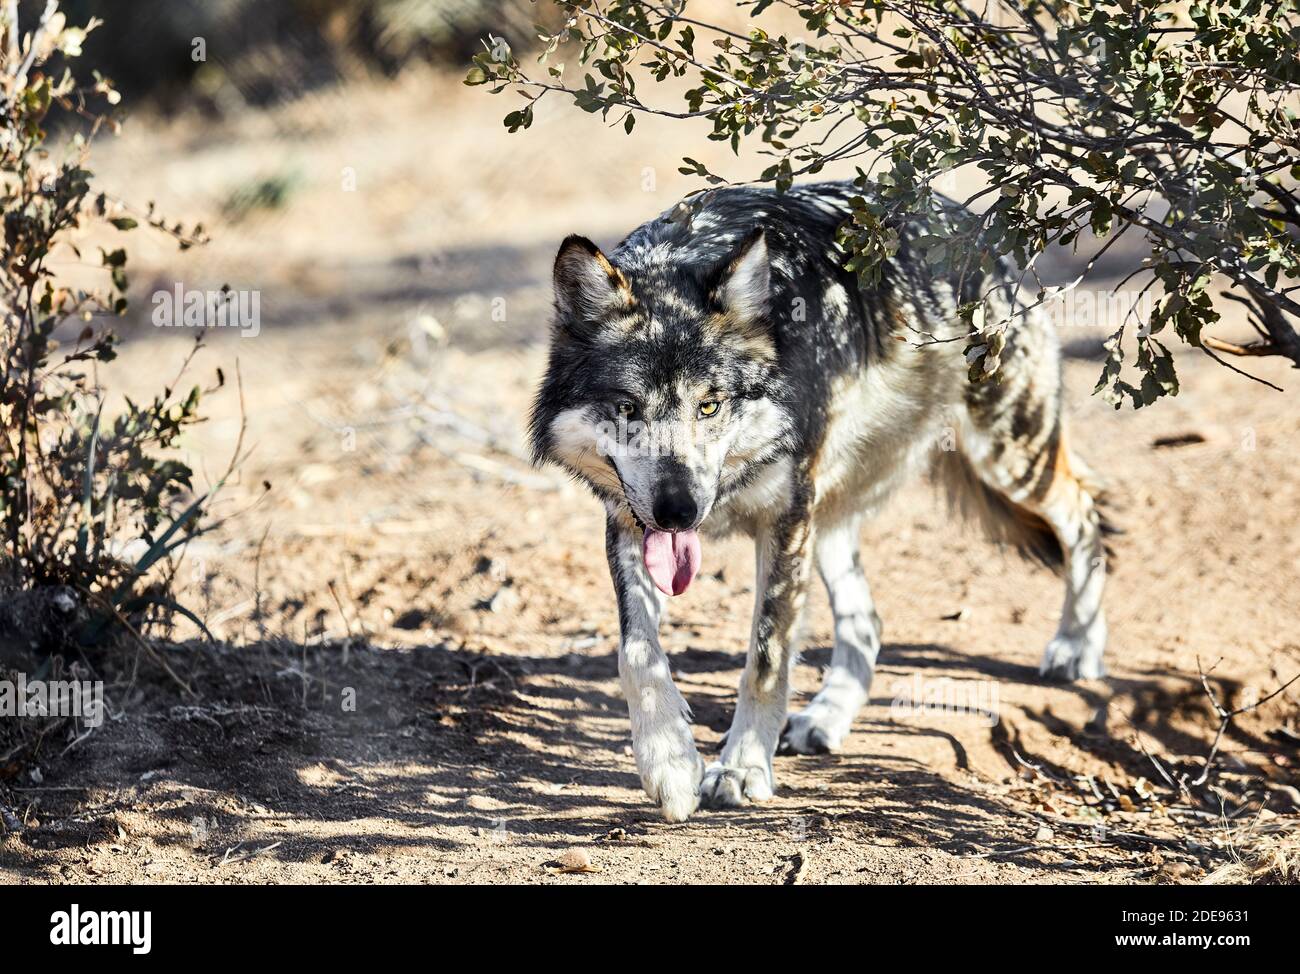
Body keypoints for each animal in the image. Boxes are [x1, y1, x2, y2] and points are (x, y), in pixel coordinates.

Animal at [529, 181, 1109, 821]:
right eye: (629, 408)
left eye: (710, 405)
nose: (680, 513)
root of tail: (978, 229)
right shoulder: (629, 519)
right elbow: (637, 653)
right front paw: (671, 764)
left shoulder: (784, 519)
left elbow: (765, 660)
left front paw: (741, 767)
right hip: (828, 512)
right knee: (868, 622)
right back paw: (826, 718)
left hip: (1005, 457)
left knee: (1084, 511)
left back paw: (1077, 646)